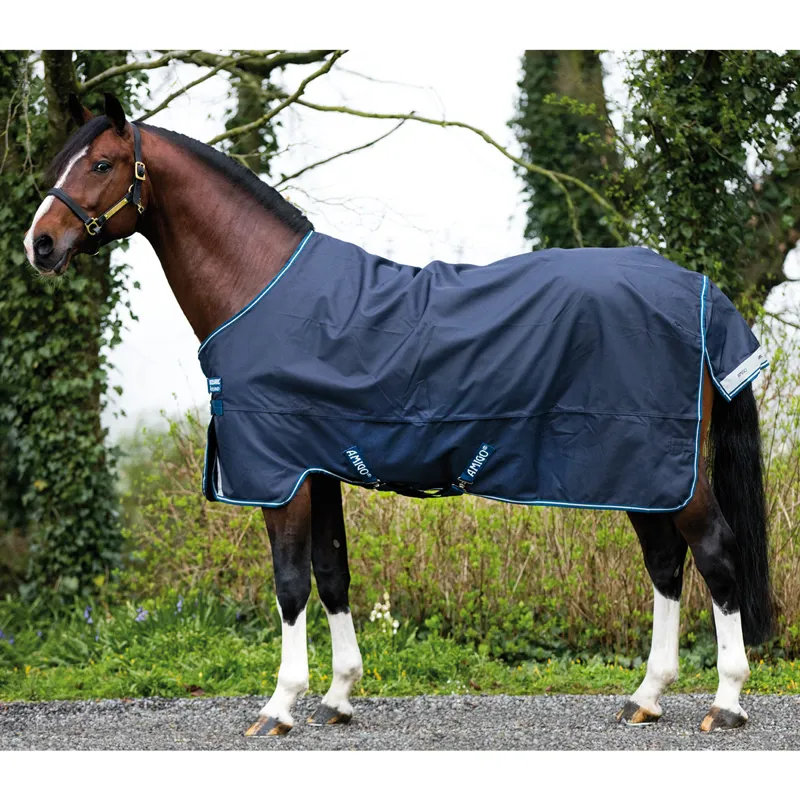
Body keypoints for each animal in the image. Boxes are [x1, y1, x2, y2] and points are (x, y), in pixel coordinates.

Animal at [24, 92, 773, 736]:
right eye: (60, 163)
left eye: (101, 164)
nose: (39, 244)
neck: (262, 287)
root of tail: (702, 290)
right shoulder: (319, 470)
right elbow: (332, 574)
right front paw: (338, 697)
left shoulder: (281, 475)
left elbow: (290, 583)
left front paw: (280, 706)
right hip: (641, 472)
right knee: (666, 565)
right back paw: (646, 697)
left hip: (662, 468)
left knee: (715, 553)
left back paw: (728, 702)